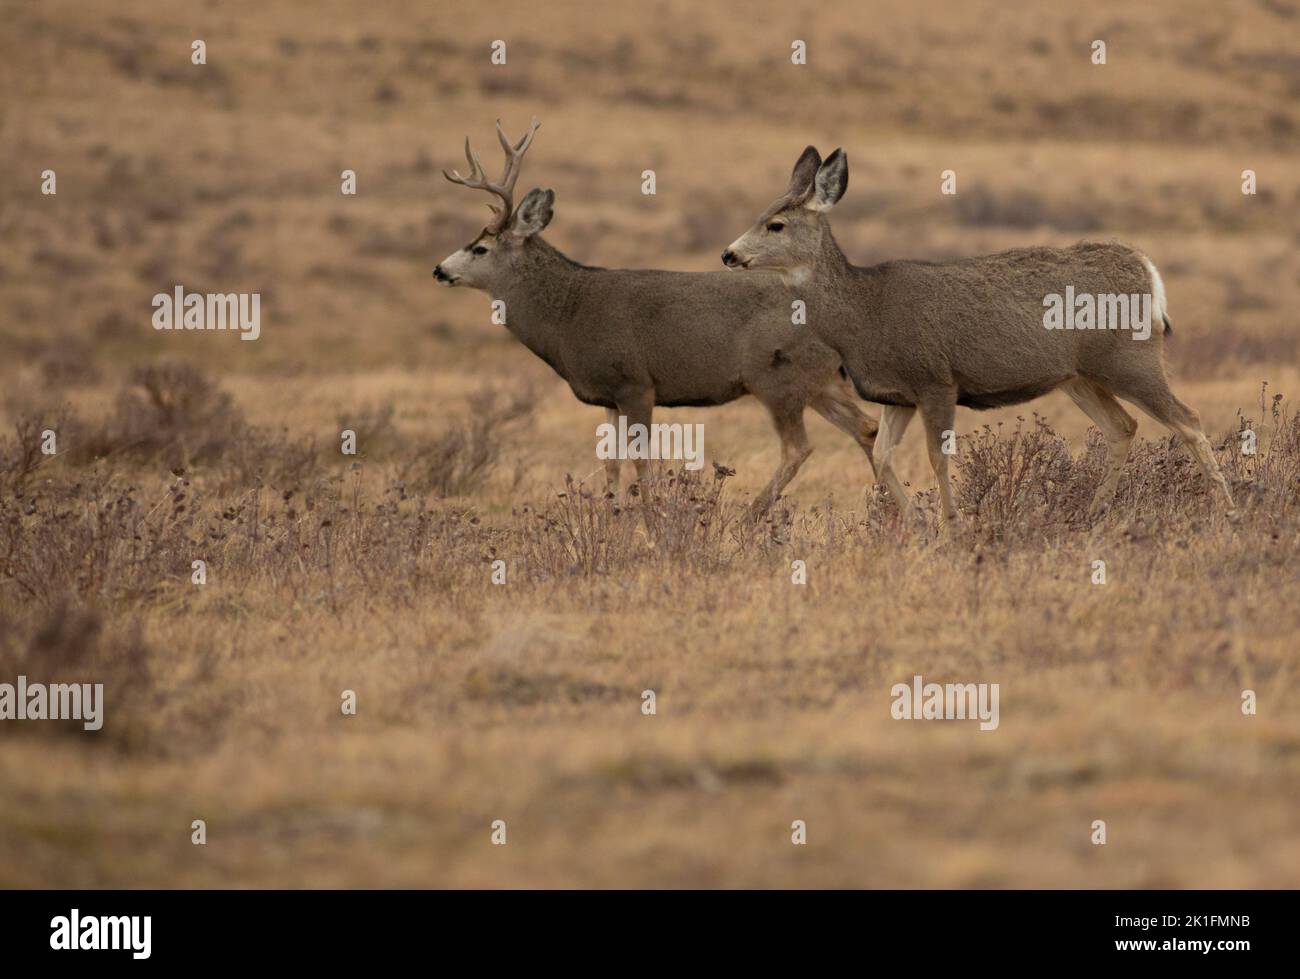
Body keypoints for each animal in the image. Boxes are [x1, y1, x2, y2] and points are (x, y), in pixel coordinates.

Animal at [432, 120, 880, 516]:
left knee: (799, 447)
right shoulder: (606, 394)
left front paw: (649, 519)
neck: (569, 314)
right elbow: (610, 462)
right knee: (867, 428)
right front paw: (611, 516)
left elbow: (641, 459)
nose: (439, 270)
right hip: (820, 380)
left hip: (776, 378)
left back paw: (752, 517)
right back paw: (886, 512)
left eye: (479, 249)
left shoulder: (635, 383)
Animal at [722, 145, 1237, 525]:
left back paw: (1227, 510)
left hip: (1130, 357)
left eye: (776, 224)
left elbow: (937, 457)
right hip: (1079, 376)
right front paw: (918, 524)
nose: (729, 254)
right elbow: (884, 457)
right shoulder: (897, 394)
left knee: (1187, 418)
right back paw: (1094, 513)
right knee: (1122, 427)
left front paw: (953, 525)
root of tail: (1147, 268)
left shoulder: (936, 379)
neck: (863, 314)